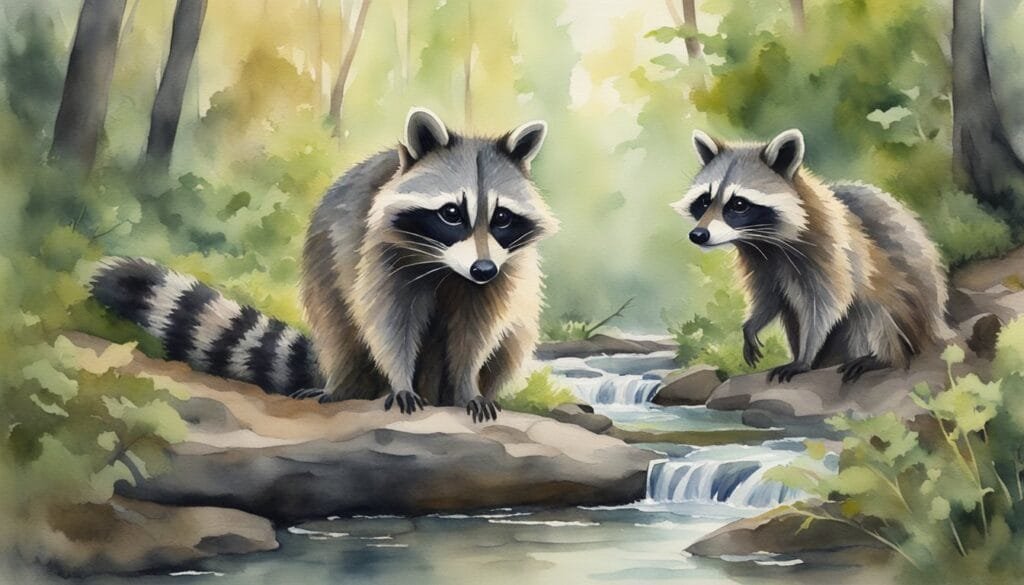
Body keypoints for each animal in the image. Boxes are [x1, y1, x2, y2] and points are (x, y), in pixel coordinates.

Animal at [300, 108, 556, 421]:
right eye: (452, 213)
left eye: (502, 217)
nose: (483, 269)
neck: (445, 266)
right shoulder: (382, 254)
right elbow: (388, 324)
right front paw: (400, 382)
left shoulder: (501, 273)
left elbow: (475, 336)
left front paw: (468, 386)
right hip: (323, 260)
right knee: (337, 331)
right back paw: (342, 387)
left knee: (513, 342)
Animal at [672, 129, 950, 383]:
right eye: (705, 201)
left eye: (738, 204)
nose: (698, 235)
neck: (766, 241)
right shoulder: (762, 262)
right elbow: (769, 297)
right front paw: (751, 324)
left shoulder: (831, 249)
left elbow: (827, 303)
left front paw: (805, 356)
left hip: (906, 296)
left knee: (876, 308)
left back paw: (881, 357)